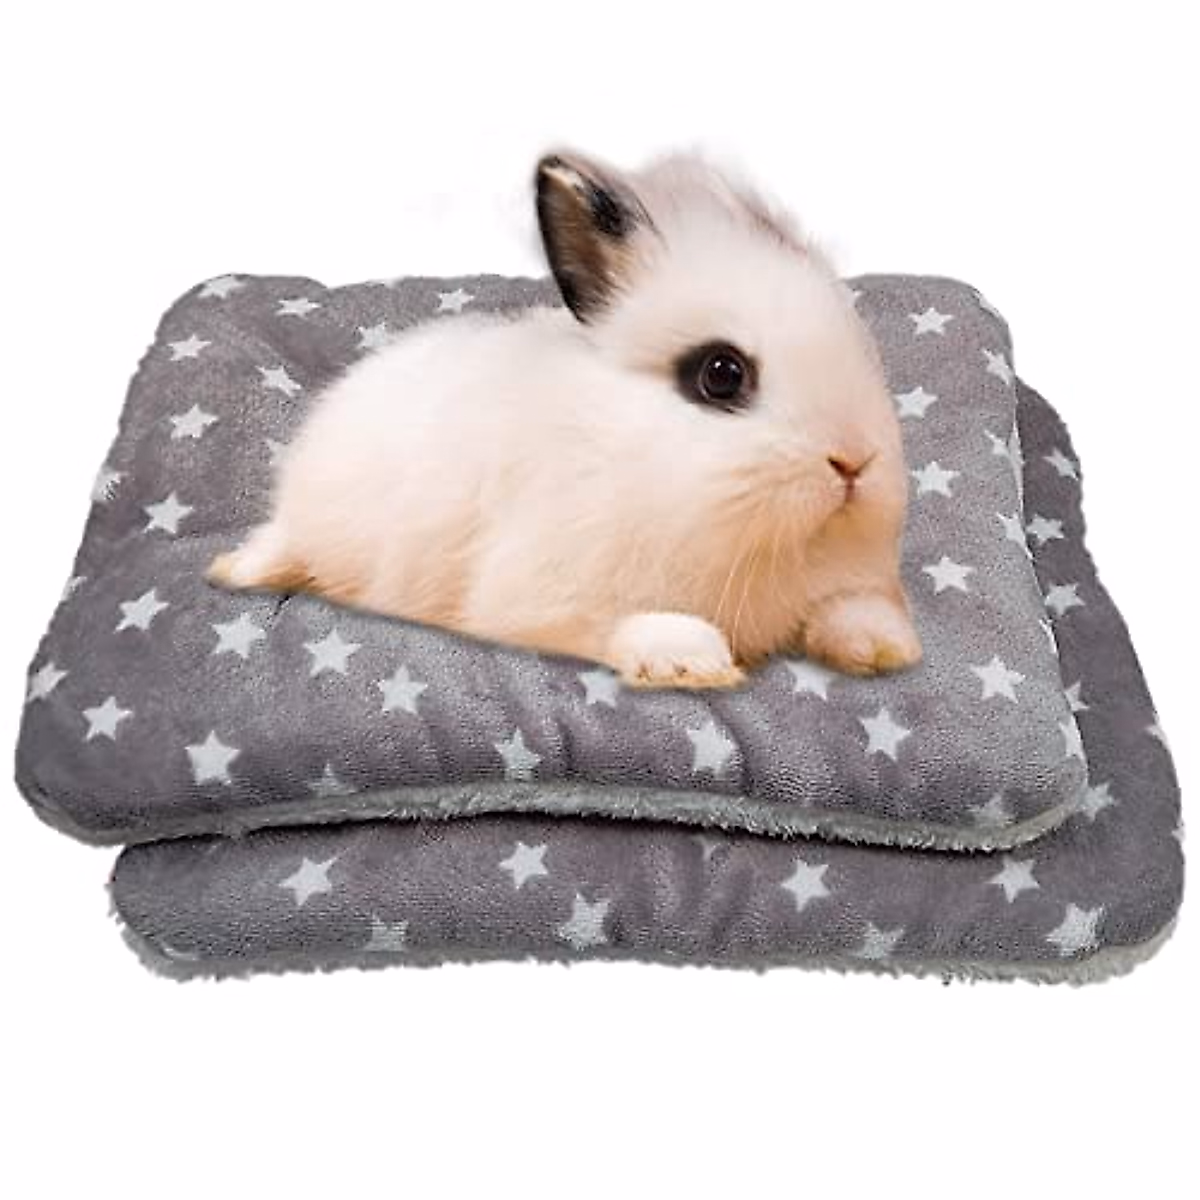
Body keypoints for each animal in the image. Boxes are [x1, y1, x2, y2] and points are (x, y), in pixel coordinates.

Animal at [208, 149, 922, 688]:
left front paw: (885, 649)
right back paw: (232, 570)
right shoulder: (544, 597)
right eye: (721, 374)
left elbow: (849, 610)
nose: (854, 460)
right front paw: (691, 660)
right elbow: (616, 625)